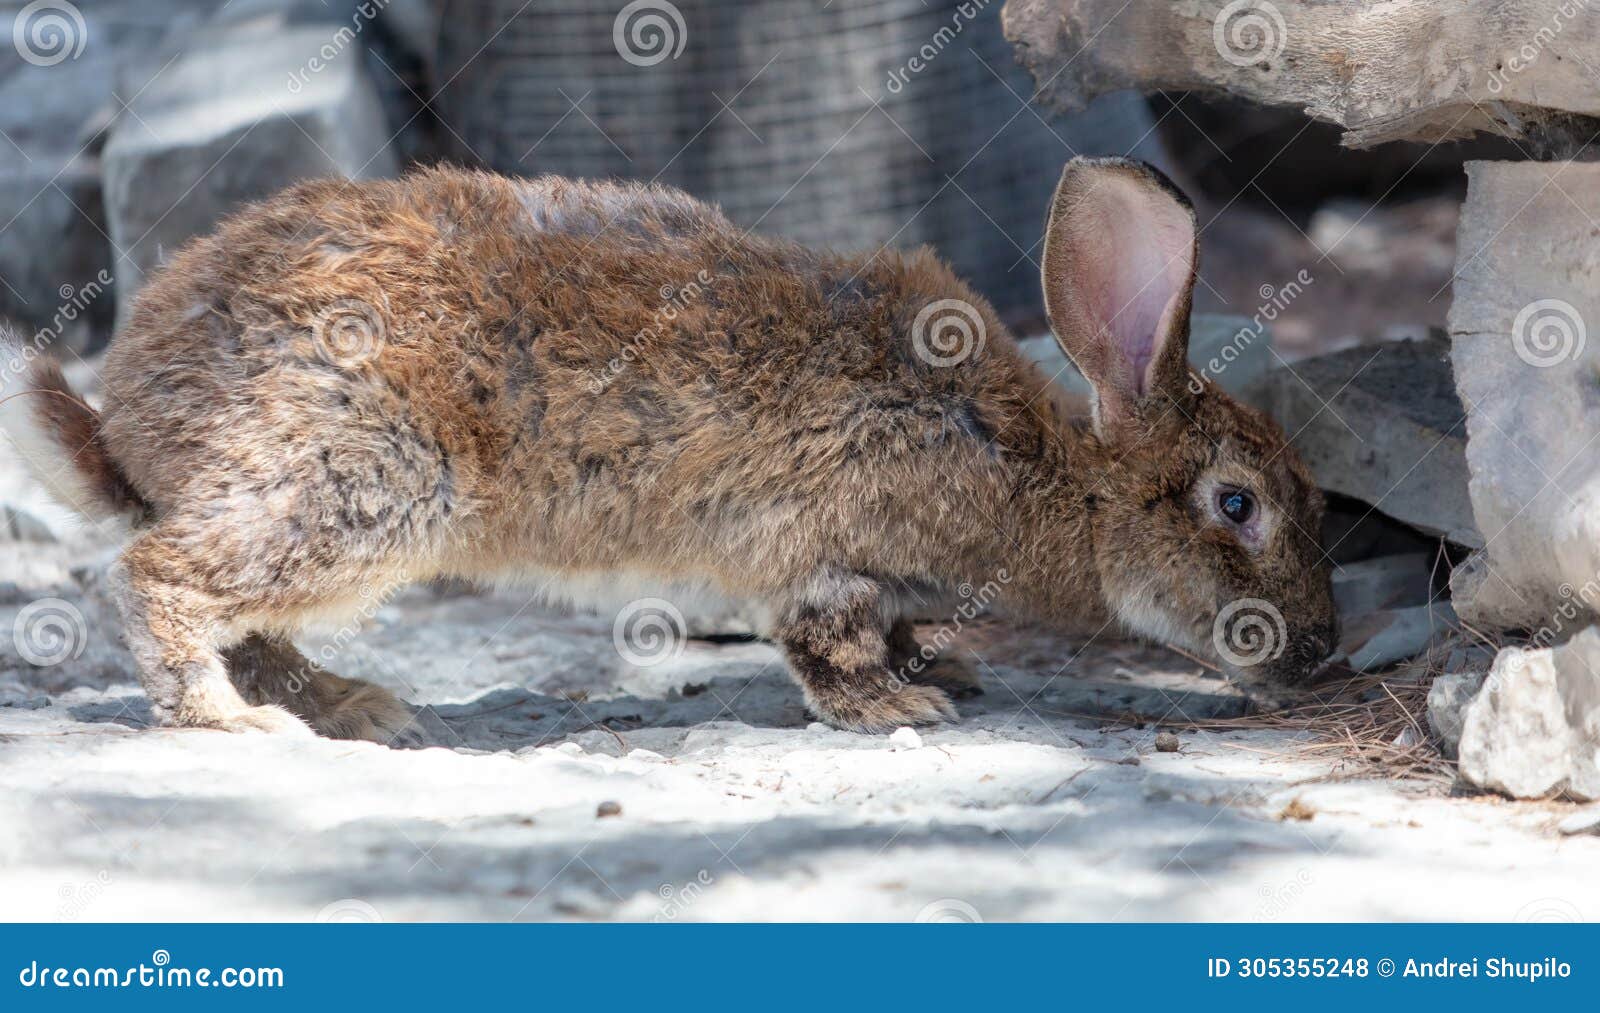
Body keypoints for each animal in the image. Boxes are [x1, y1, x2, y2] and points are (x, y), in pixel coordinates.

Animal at [0, 157, 1337, 741]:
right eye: (1236, 505)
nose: (1319, 651)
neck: (1048, 475)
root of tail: (129, 423)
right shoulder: (826, 546)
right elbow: (829, 635)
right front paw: (898, 705)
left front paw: (944, 672)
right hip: (364, 480)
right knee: (164, 576)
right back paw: (230, 720)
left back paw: (353, 706)